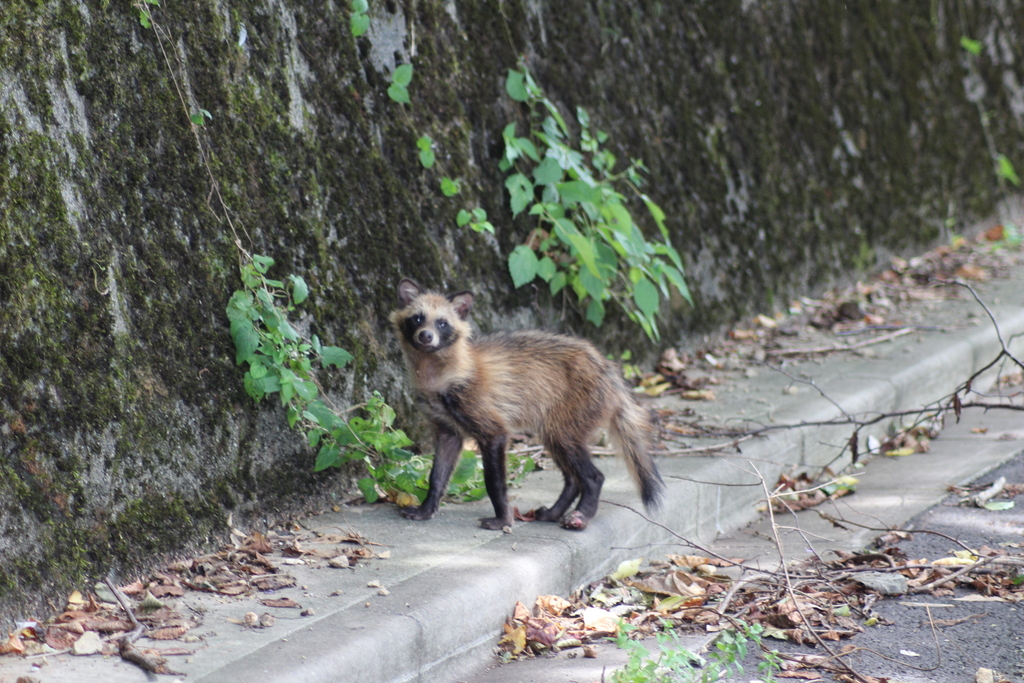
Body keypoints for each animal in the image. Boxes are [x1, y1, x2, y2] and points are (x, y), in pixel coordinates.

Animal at [389, 278, 663, 531]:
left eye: (442, 323)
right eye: (417, 318)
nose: (426, 336)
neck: (440, 377)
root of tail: (610, 371)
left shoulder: (493, 430)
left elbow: (495, 483)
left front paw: (502, 519)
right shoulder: (448, 431)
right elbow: (436, 477)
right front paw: (426, 510)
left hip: (563, 432)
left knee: (594, 477)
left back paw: (581, 515)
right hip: (554, 435)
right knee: (573, 480)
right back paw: (553, 513)